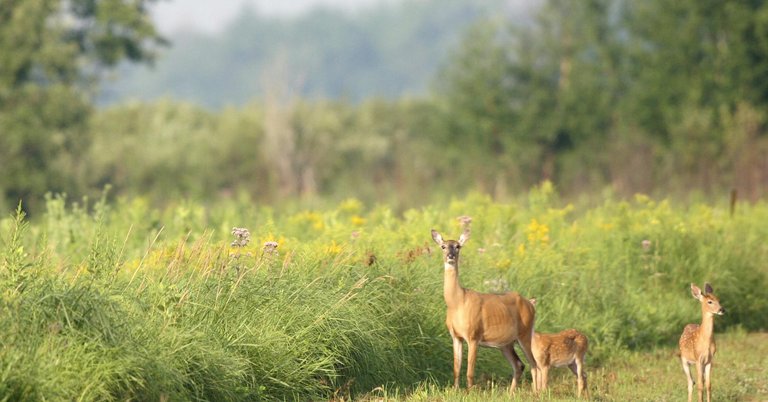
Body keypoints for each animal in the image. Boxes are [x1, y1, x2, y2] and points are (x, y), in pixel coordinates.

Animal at [431, 228, 538, 392]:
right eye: (443, 246)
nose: (450, 256)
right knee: (519, 365)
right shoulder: (456, 336)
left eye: (458, 246)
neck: (457, 302)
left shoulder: (474, 335)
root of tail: (531, 304)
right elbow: (456, 368)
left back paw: (538, 392)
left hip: (525, 333)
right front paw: (455, 390)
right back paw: (511, 392)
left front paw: (470, 392)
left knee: (534, 364)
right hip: (506, 343)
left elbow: (469, 371)